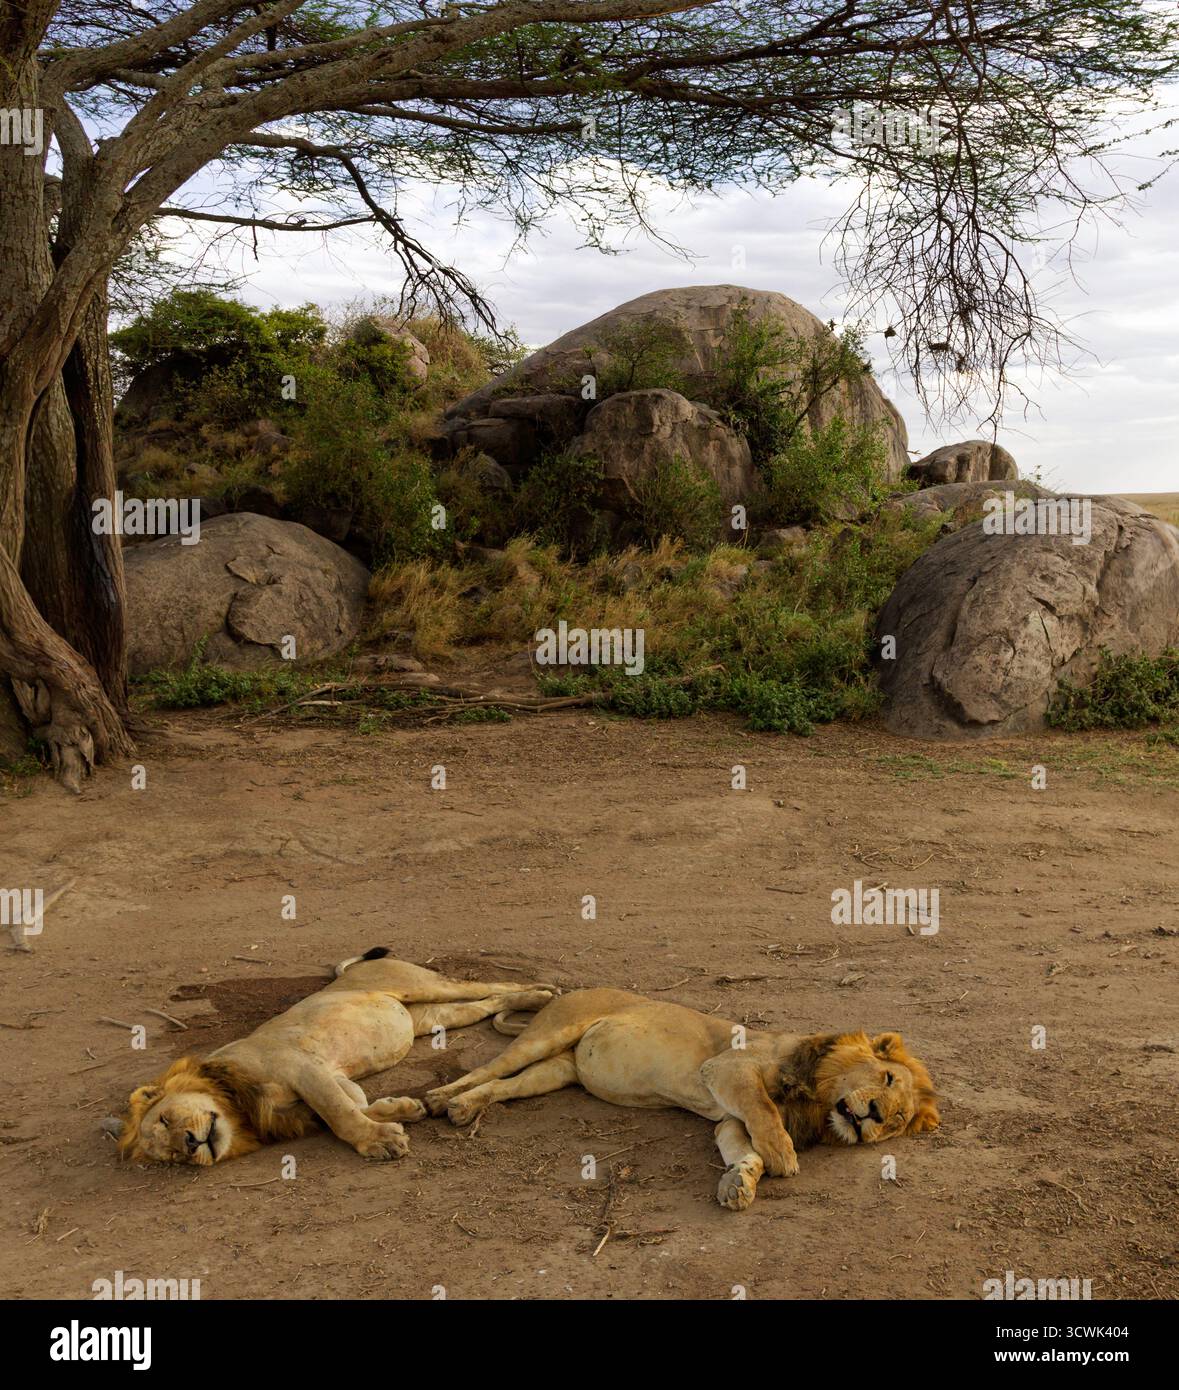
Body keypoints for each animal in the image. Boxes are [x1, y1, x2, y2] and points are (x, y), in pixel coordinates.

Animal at [118, 949, 555, 1165]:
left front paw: (380, 1142)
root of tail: (352, 970)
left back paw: (545, 992)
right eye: (173, 1158)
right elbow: (353, 1102)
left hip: (421, 984)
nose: (191, 1145)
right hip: (428, 1017)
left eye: (166, 1119)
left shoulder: (301, 1067)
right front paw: (402, 1109)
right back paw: (533, 1000)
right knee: (487, 1003)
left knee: (492, 984)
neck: (237, 1105)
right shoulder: (329, 1076)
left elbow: (339, 1115)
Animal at [425, 988, 939, 1210]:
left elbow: (743, 1146)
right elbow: (765, 1115)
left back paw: (464, 1108)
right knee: (487, 1069)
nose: (875, 1115)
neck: (820, 1102)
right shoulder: (729, 1068)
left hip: (558, 1070)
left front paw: (740, 1183)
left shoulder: (729, 1119)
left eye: (897, 1120)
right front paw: (784, 1156)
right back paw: (437, 1100)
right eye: (887, 1078)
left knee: (505, 1086)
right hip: (550, 1033)